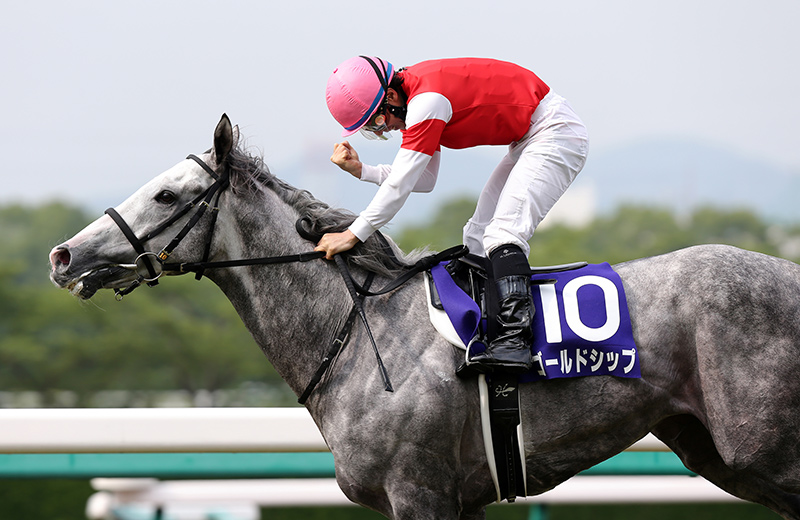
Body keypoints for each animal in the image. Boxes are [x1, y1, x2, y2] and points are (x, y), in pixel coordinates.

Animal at [49, 114, 800, 519]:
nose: (62, 255)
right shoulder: (457, 499)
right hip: (712, 448)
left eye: (167, 194)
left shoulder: (420, 492)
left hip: (763, 449)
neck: (360, 332)